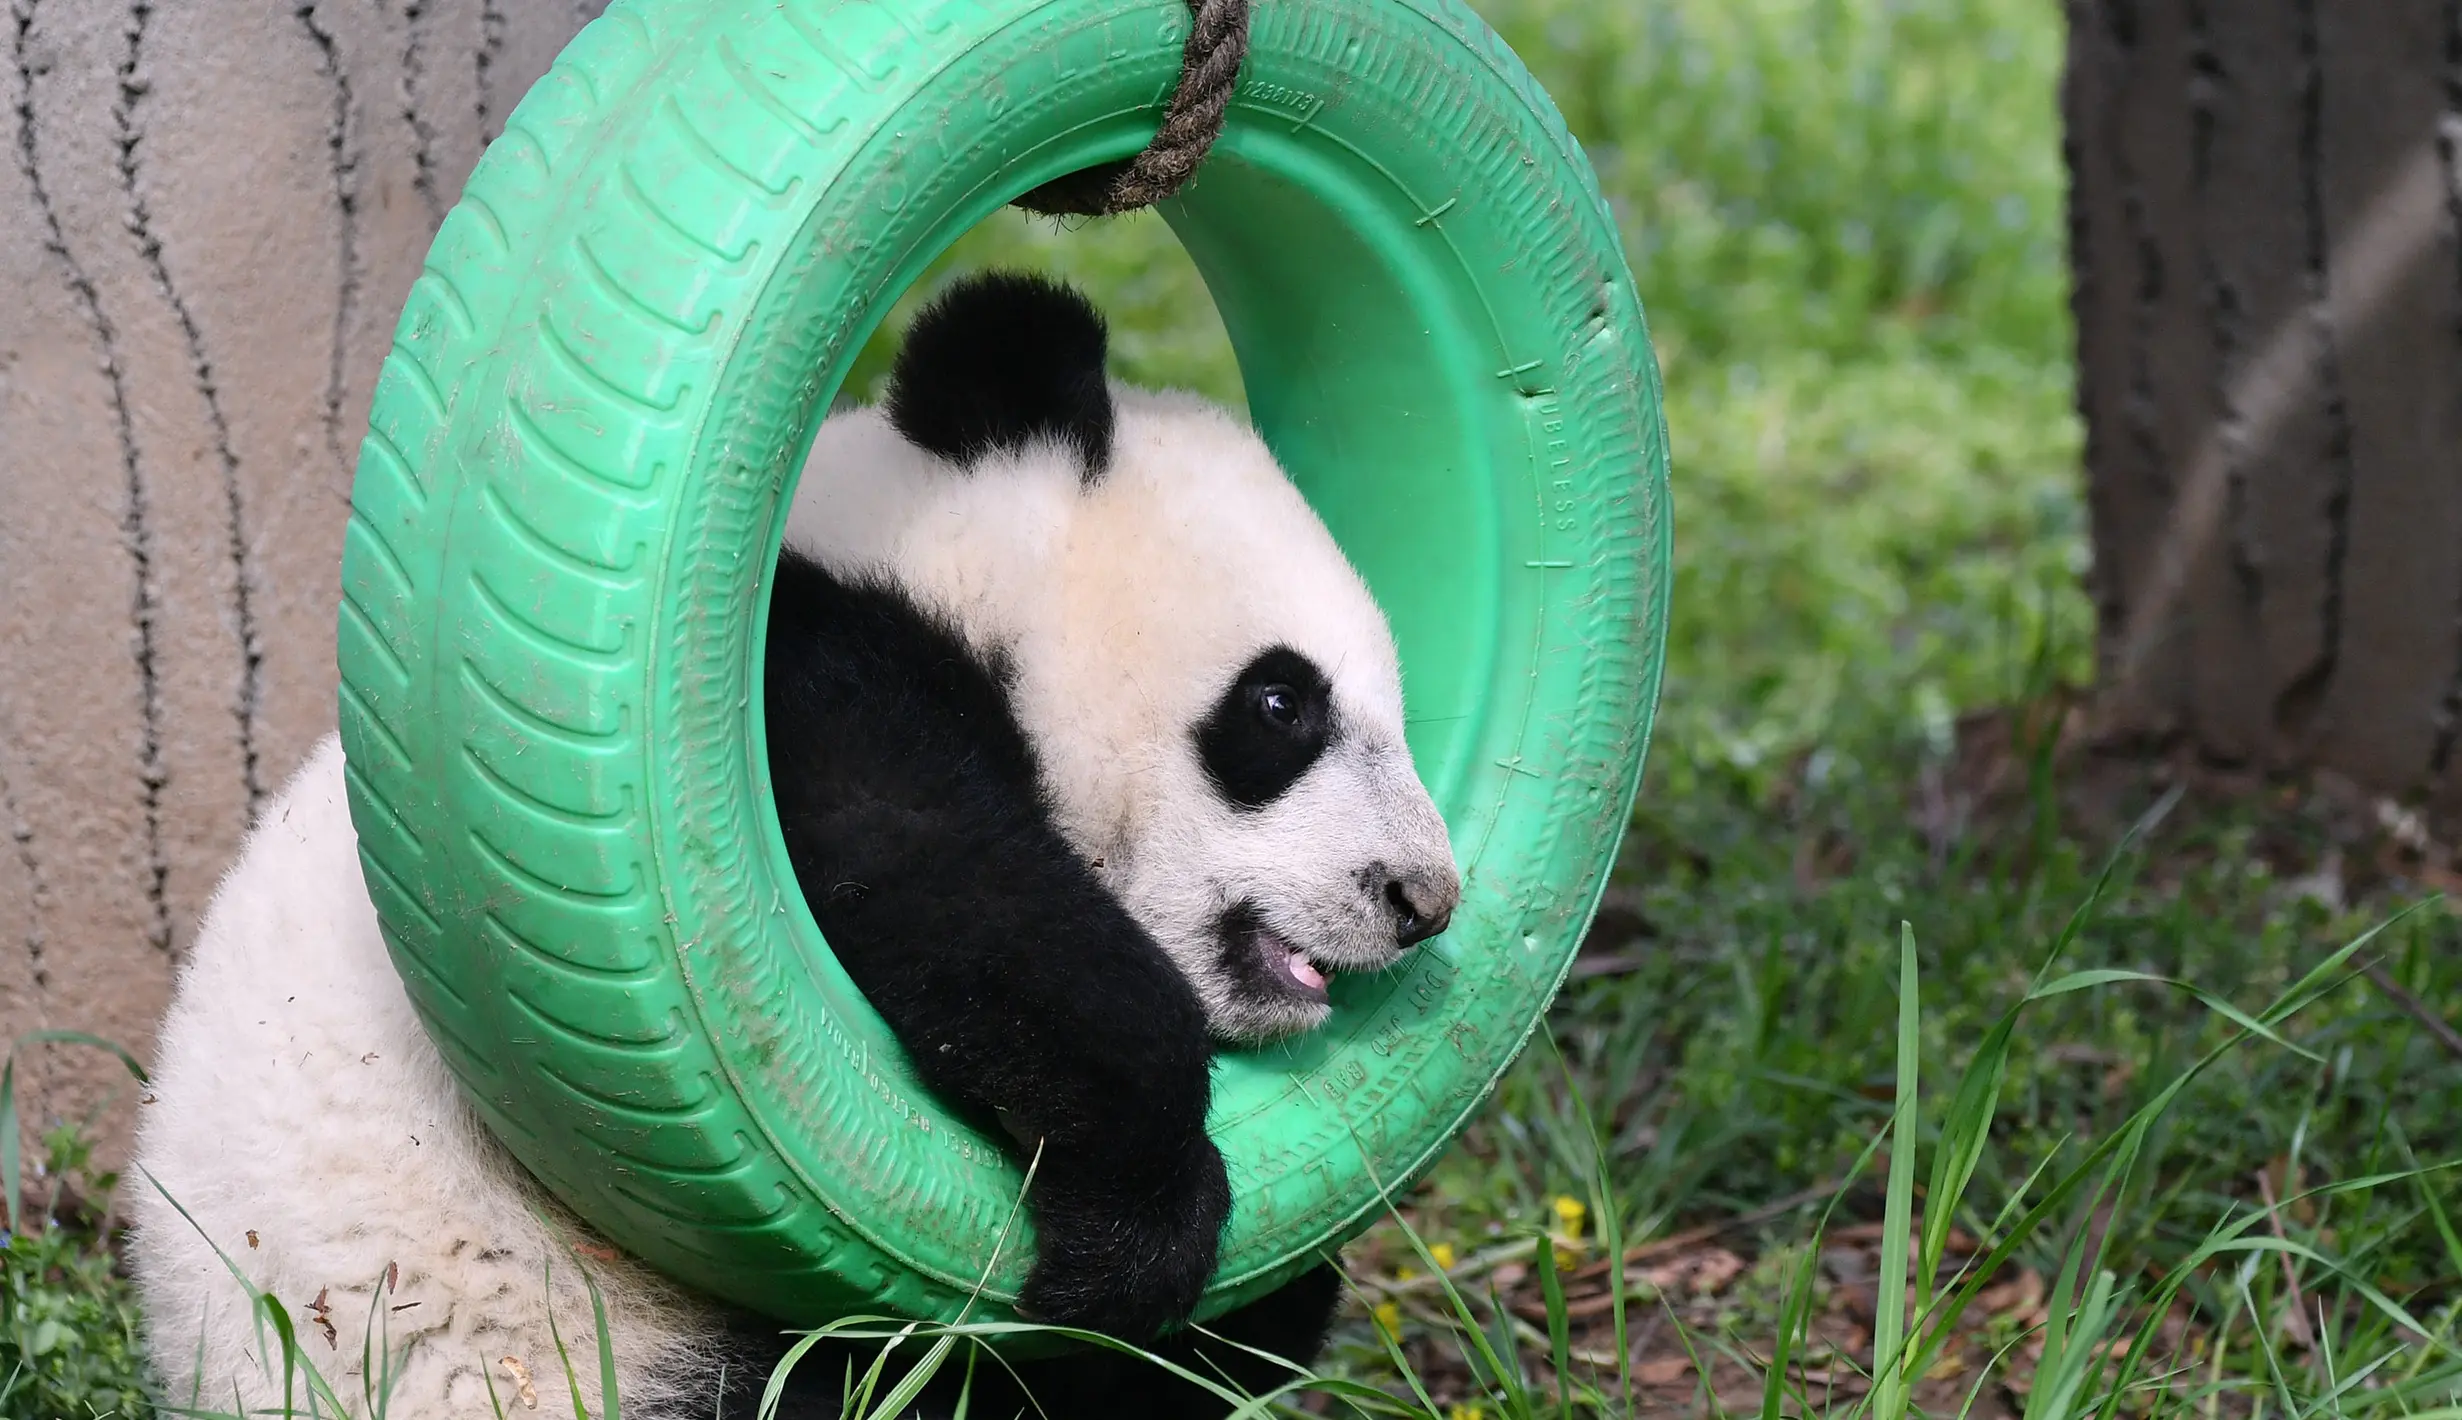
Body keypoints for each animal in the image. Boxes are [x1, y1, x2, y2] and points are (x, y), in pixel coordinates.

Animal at [127, 271, 1461, 1419]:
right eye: (1281, 703)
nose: (1423, 898)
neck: (934, 555)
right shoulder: (793, 693)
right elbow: (935, 881)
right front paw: (1141, 1219)